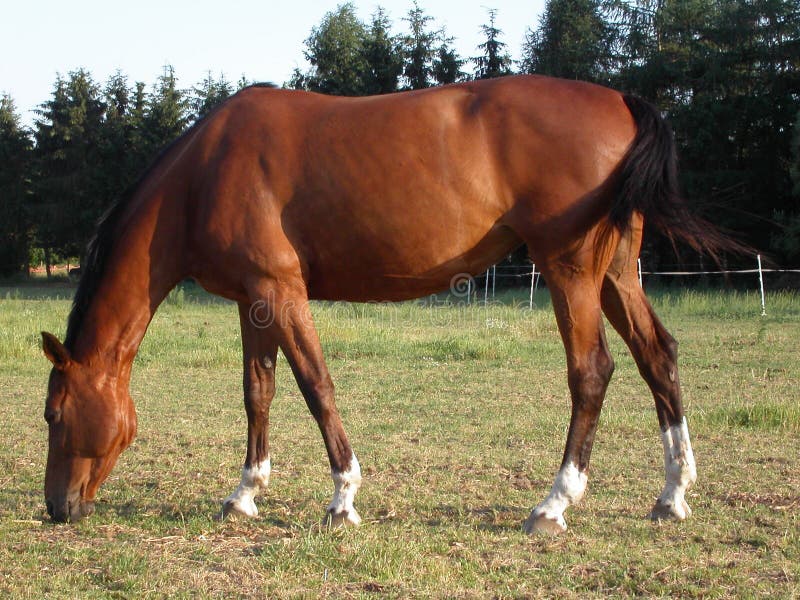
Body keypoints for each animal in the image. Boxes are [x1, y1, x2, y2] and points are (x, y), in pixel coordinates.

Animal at [41, 75, 735, 533]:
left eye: (53, 414)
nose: (57, 508)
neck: (204, 174)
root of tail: (621, 102)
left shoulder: (282, 291)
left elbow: (316, 386)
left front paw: (342, 499)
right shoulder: (253, 299)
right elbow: (258, 392)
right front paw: (244, 494)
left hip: (571, 272)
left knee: (592, 373)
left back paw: (554, 503)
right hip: (615, 273)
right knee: (658, 357)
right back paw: (672, 494)